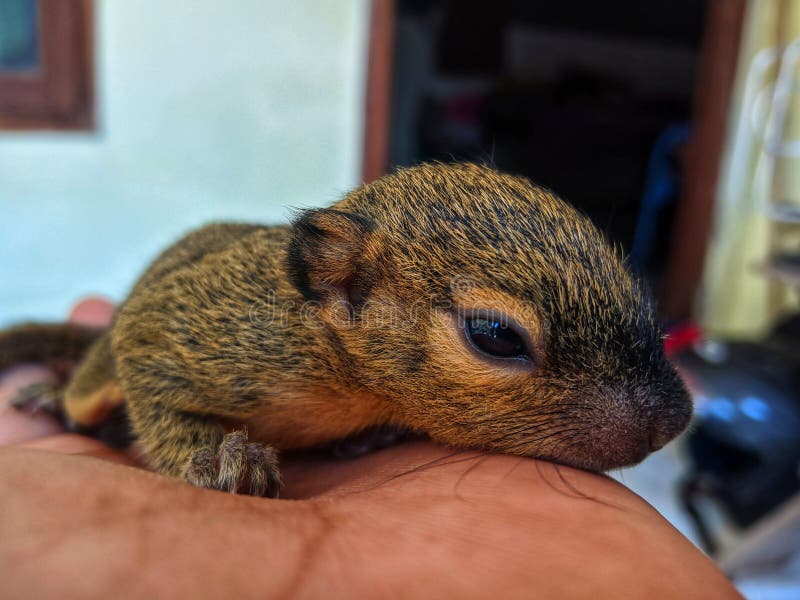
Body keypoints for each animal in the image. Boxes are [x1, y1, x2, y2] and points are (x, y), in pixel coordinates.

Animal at [0, 163, 692, 497]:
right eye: (496, 335)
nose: (674, 420)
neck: (351, 378)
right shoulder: (205, 329)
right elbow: (152, 371)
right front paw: (216, 456)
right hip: (103, 369)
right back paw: (56, 395)